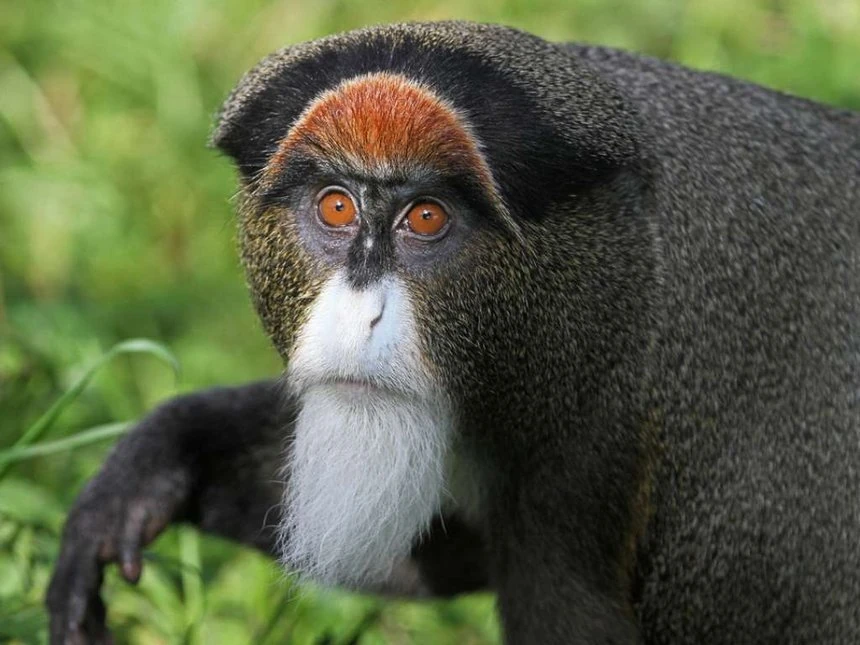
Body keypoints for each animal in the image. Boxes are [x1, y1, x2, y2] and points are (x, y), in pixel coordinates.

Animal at [46, 20, 859, 645]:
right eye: (336, 206)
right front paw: (158, 460)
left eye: (427, 218)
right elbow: (448, 541)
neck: (628, 265)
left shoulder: (593, 447)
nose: (364, 312)